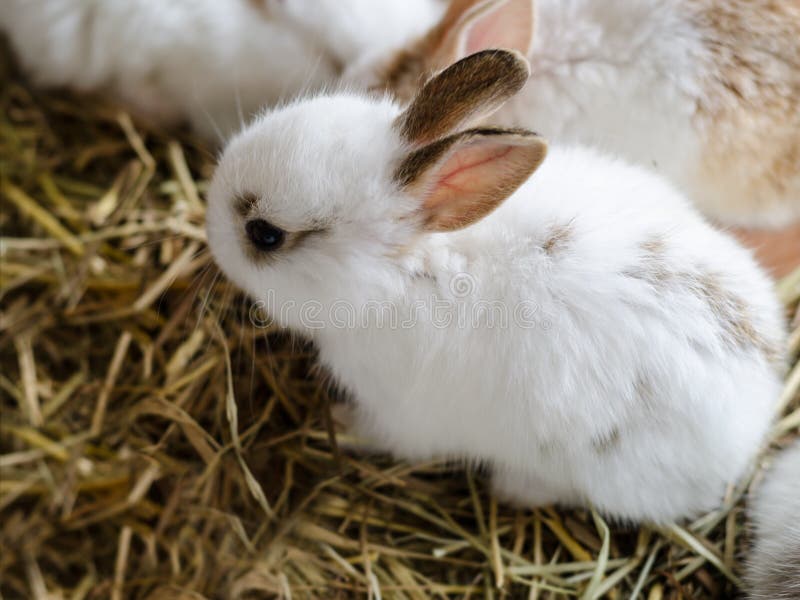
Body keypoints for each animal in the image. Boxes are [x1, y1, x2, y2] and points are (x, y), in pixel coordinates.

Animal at [206, 49, 787, 524]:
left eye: (264, 234)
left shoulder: (399, 414)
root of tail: (759, 408)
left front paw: (341, 424)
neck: (413, 269)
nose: (210, 229)